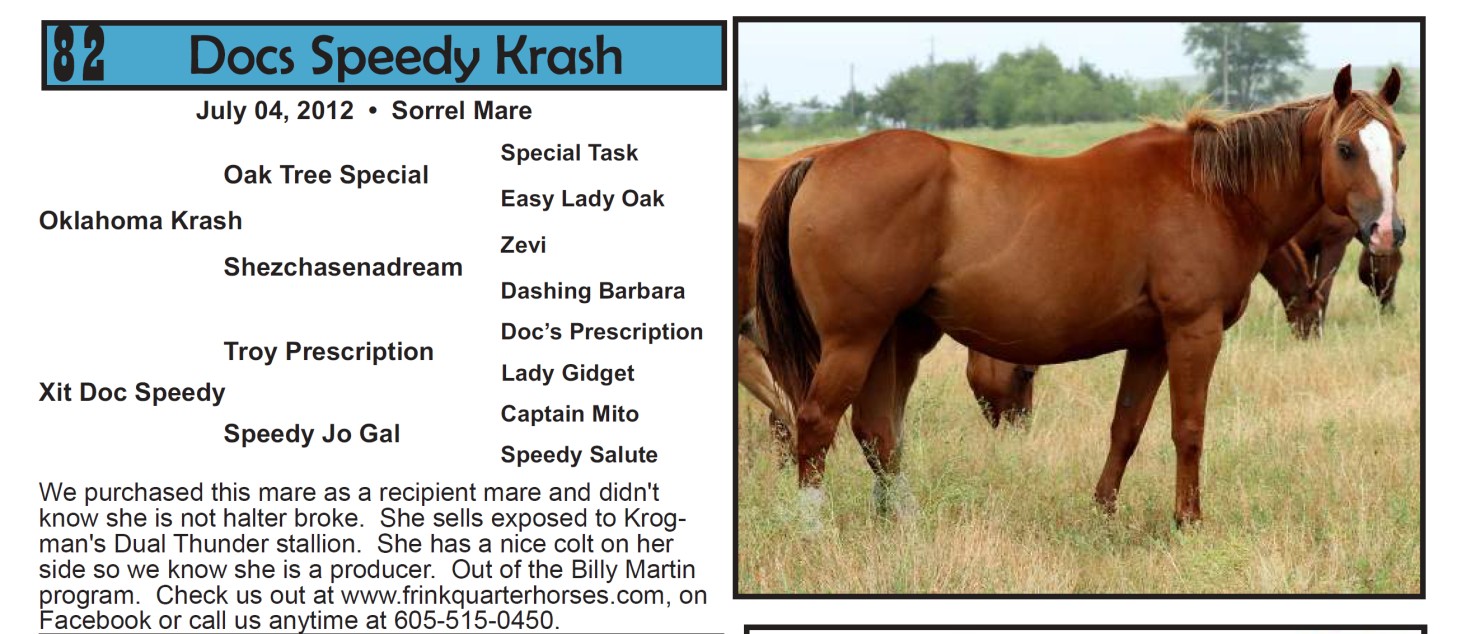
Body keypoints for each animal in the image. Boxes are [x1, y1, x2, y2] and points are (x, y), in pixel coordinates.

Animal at [754, 66, 1405, 524]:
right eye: (1346, 149)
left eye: (1398, 148)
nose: (1387, 232)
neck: (1214, 192)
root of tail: (819, 160)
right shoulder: (1193, 332)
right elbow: (1188, 428)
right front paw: (1188, 520)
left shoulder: (1151, 343)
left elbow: (1128, 427)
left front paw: (1103, 511)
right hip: (853, 339)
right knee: (816, 423)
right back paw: (813, 528)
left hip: (891, 337)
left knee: (877, 430)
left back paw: (906, 519)